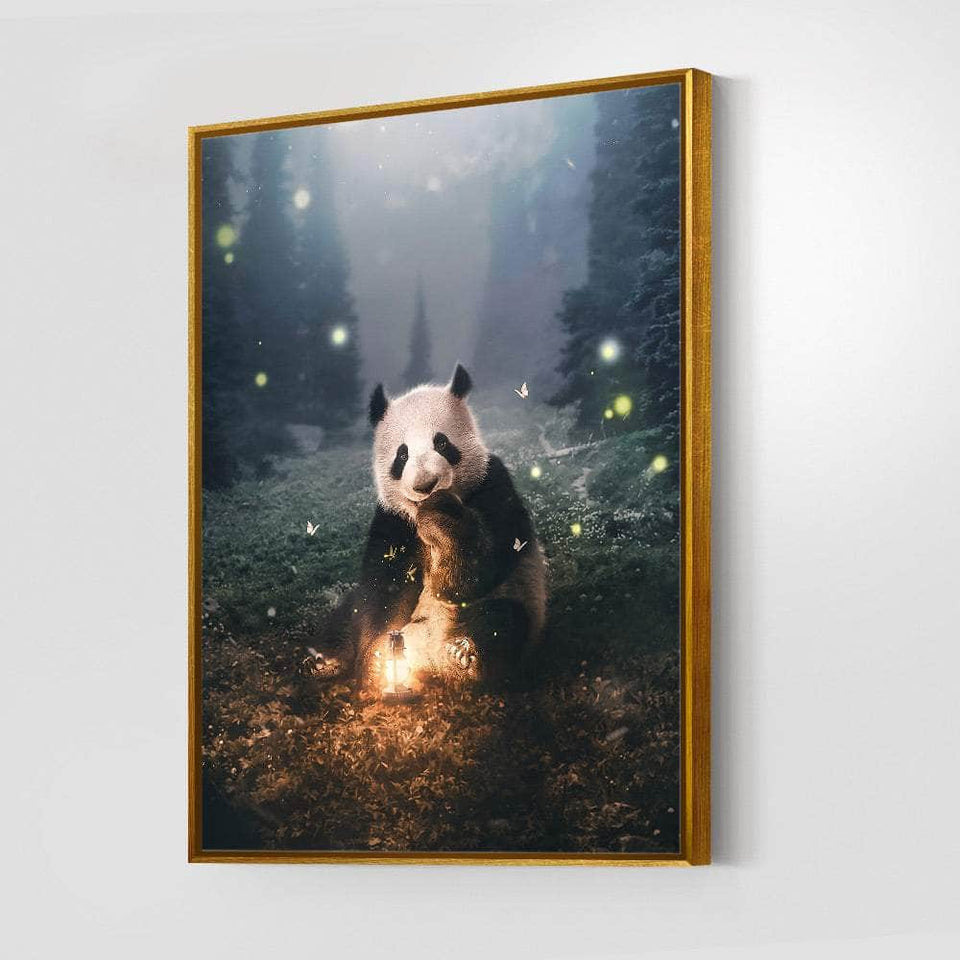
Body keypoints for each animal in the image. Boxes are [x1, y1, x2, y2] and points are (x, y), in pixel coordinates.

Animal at [337, 363, 546, 687]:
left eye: (442, 443)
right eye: (402, 454)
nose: (425, 485)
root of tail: (427, 657)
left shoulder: (493, 484)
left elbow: (473, 573)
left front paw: (441, 519)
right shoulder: (392, 519)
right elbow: (382, 588)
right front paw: (374, 662)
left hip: (513, 603)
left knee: (504, 620)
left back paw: (464, 655)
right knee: (346, 611)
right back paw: (325, 657)